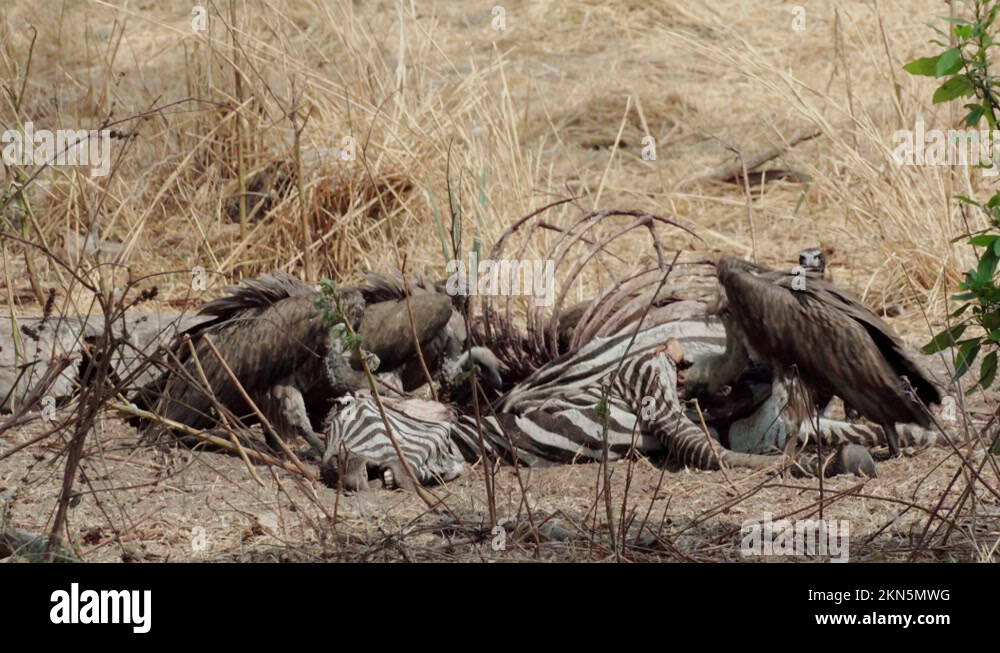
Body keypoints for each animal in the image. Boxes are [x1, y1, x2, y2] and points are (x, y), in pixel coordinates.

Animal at [319, 316, 953, 490]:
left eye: (349, 412)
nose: (341, 473)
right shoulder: (657, 402)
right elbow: (718, 451)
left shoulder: (646, 381)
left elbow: (718, 448)